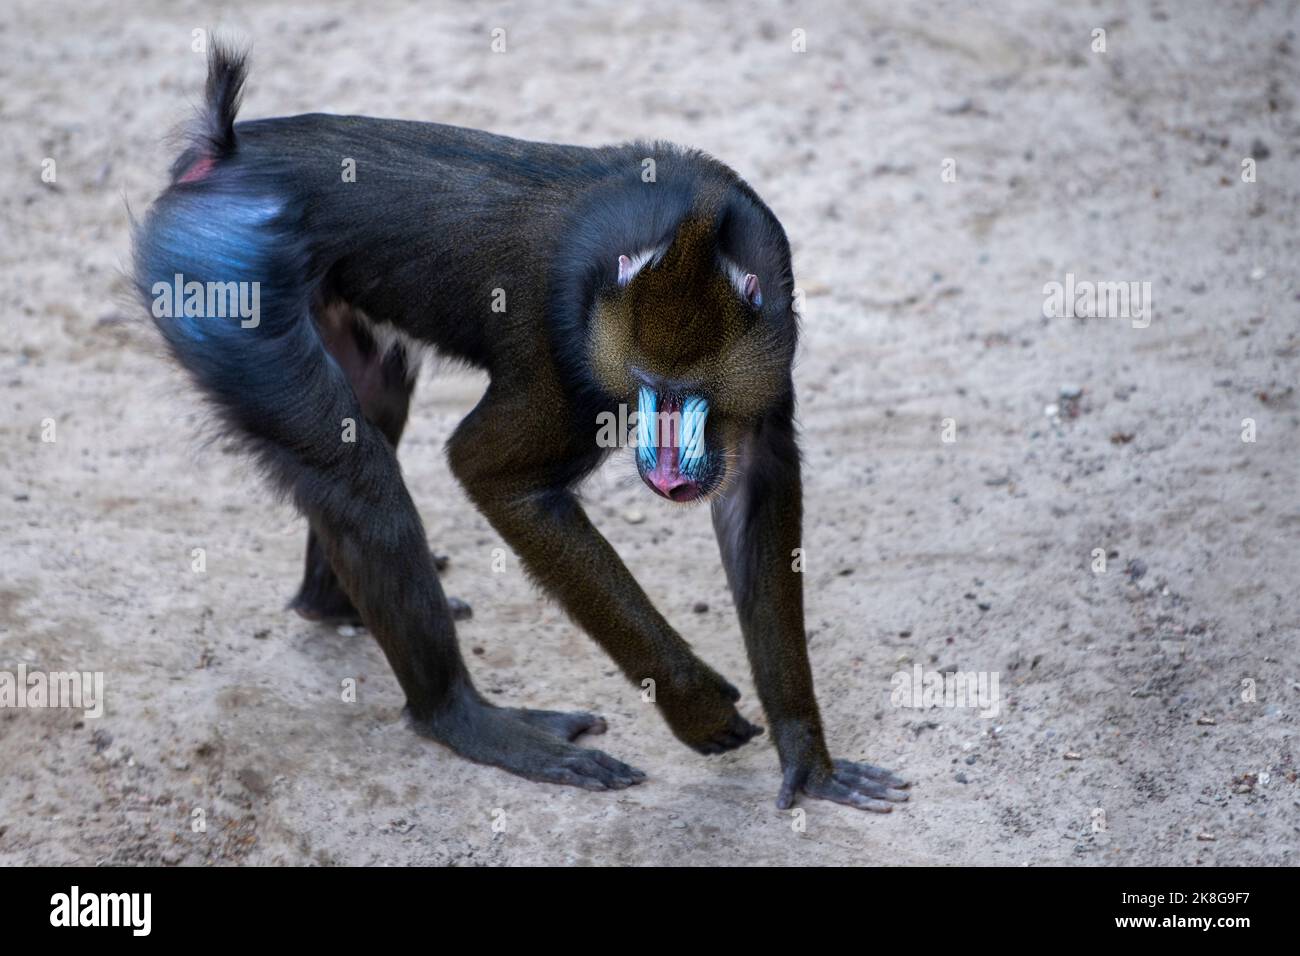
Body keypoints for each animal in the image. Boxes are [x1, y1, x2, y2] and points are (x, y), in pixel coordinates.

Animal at [134, 45, 909, 812]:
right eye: (649, 386)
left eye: (695, 396)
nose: (667, 475)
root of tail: (222, 155)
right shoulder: (564, 365)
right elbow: (491, 472)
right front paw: (694, 707)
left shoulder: (768, 355)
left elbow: (754, 495)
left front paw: (807, 757)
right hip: (221, 279)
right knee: (356, 481)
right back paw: (467, 719)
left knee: (373, 410)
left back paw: (330, 605)